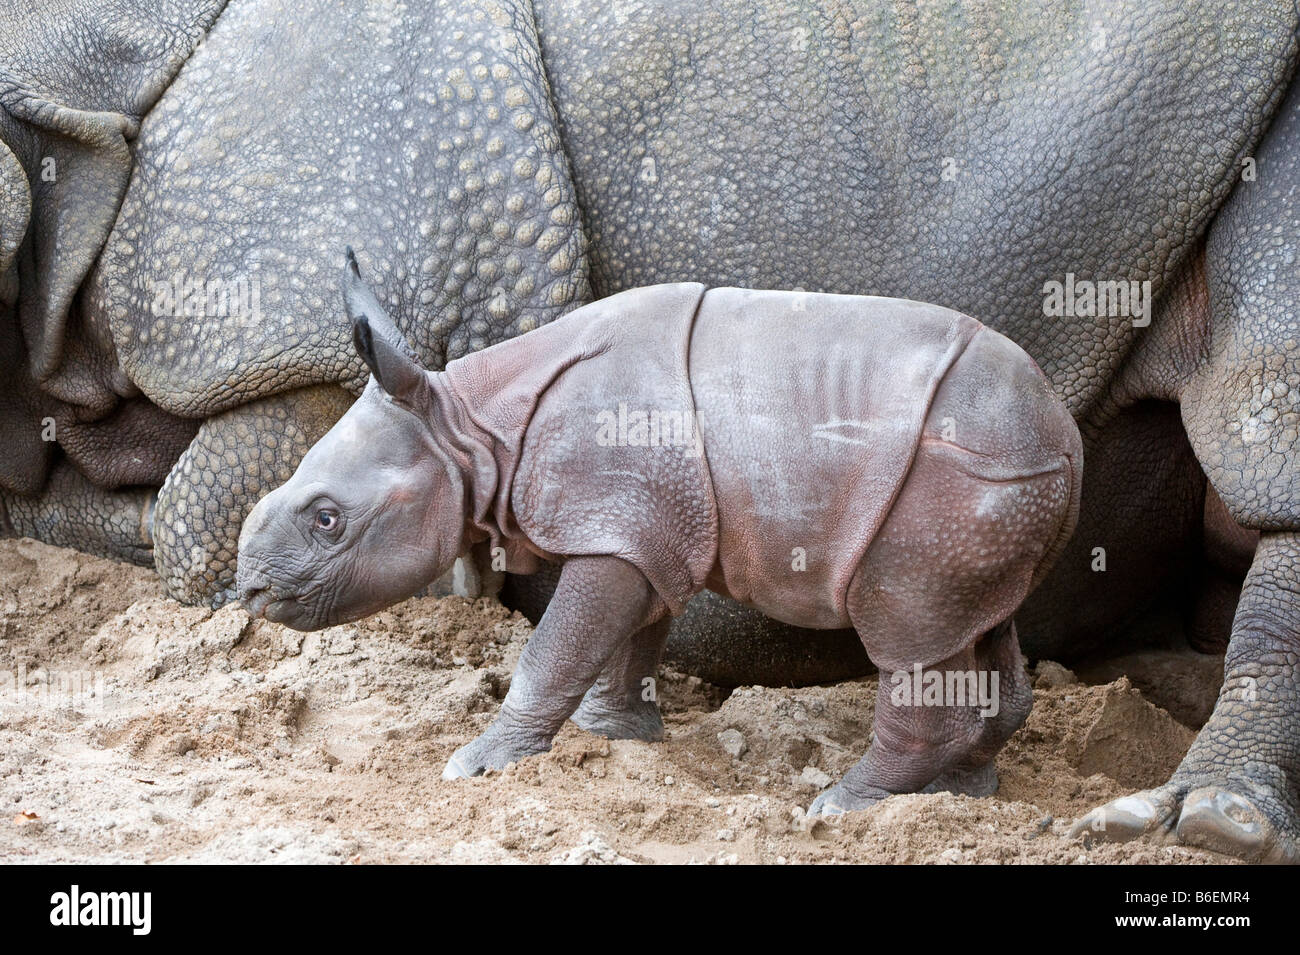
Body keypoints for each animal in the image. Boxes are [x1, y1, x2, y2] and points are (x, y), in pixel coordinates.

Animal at [237, 253, 1082, 808]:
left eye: (327, 518)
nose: (248, 589)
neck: (470, 429)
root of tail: (1066, 436)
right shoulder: (643, 527)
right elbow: (631, 636)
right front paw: (613, 736)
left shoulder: (618, 524)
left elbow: (554, 647)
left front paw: (478, 766)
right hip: (997, 487)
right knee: (978, 624)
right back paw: (961, 794)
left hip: (953, 484)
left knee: (907, 630)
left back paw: (847, 806)